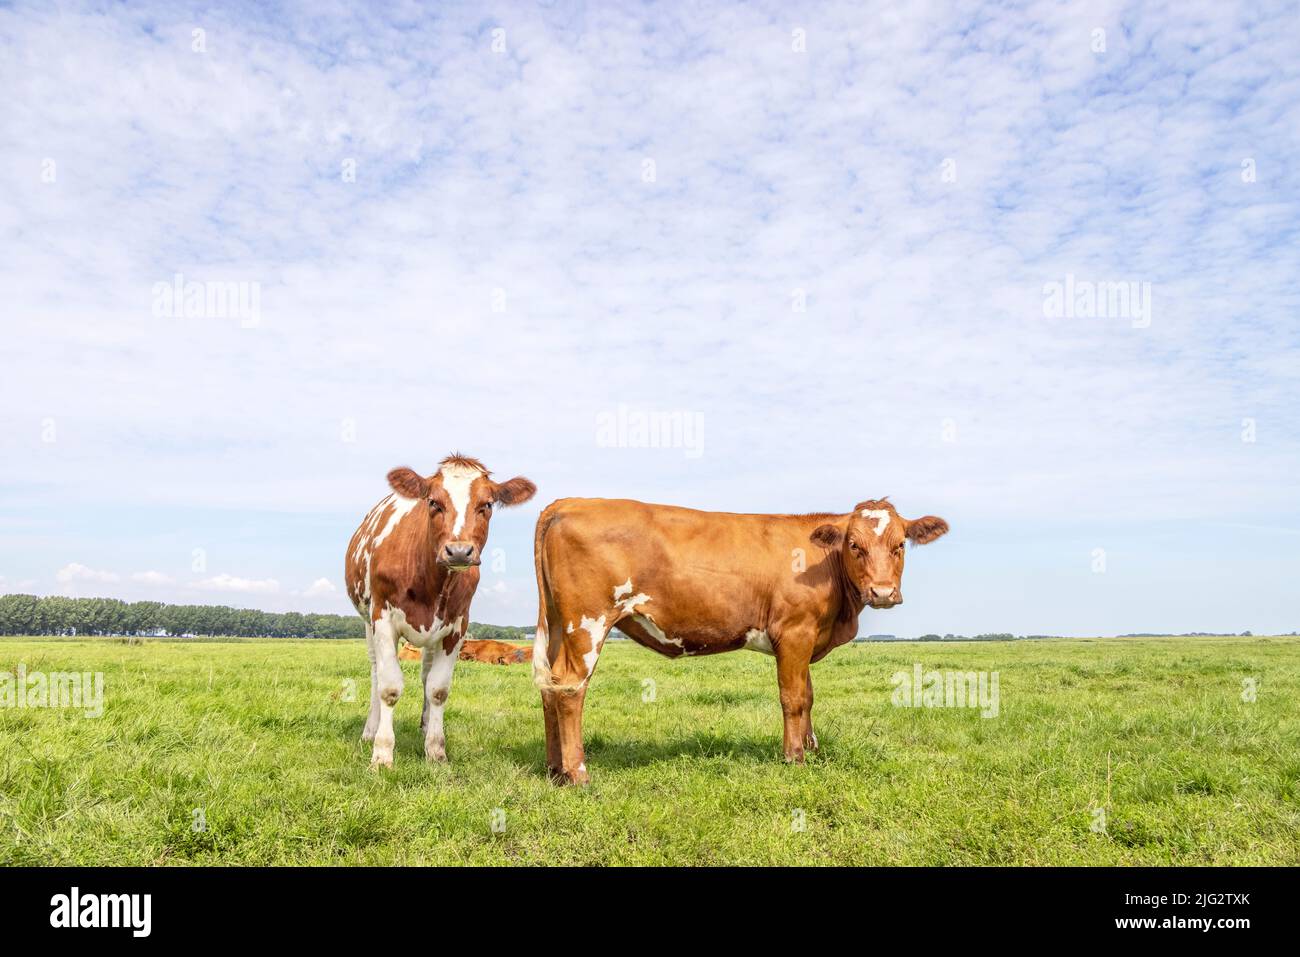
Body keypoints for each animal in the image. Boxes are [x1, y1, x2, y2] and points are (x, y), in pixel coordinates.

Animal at [345, 454, 536, 768]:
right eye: (433, 502)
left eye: (486, 505)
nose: (458, 551)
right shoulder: (382, 618)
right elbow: (389, 687)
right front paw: (382, 753)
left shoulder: (456, 626)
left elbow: (437, 688)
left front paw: (435, 749)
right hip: (367, 621)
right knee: (375, 672)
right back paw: (370, 731)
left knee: (425, 674)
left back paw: (424, 726)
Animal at [531, 497, 948, 783]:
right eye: (854, 545)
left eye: (900, 545)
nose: (883, 592)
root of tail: (569, 502)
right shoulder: (794, 632)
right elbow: (793, 698)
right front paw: (794, 757)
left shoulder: (809, 636)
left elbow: (809, 695)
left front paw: (813, 748)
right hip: (587, 623)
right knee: (571, 687)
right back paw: (577, 773)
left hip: (558, 626)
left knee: (549, 685)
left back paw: (554, 770)